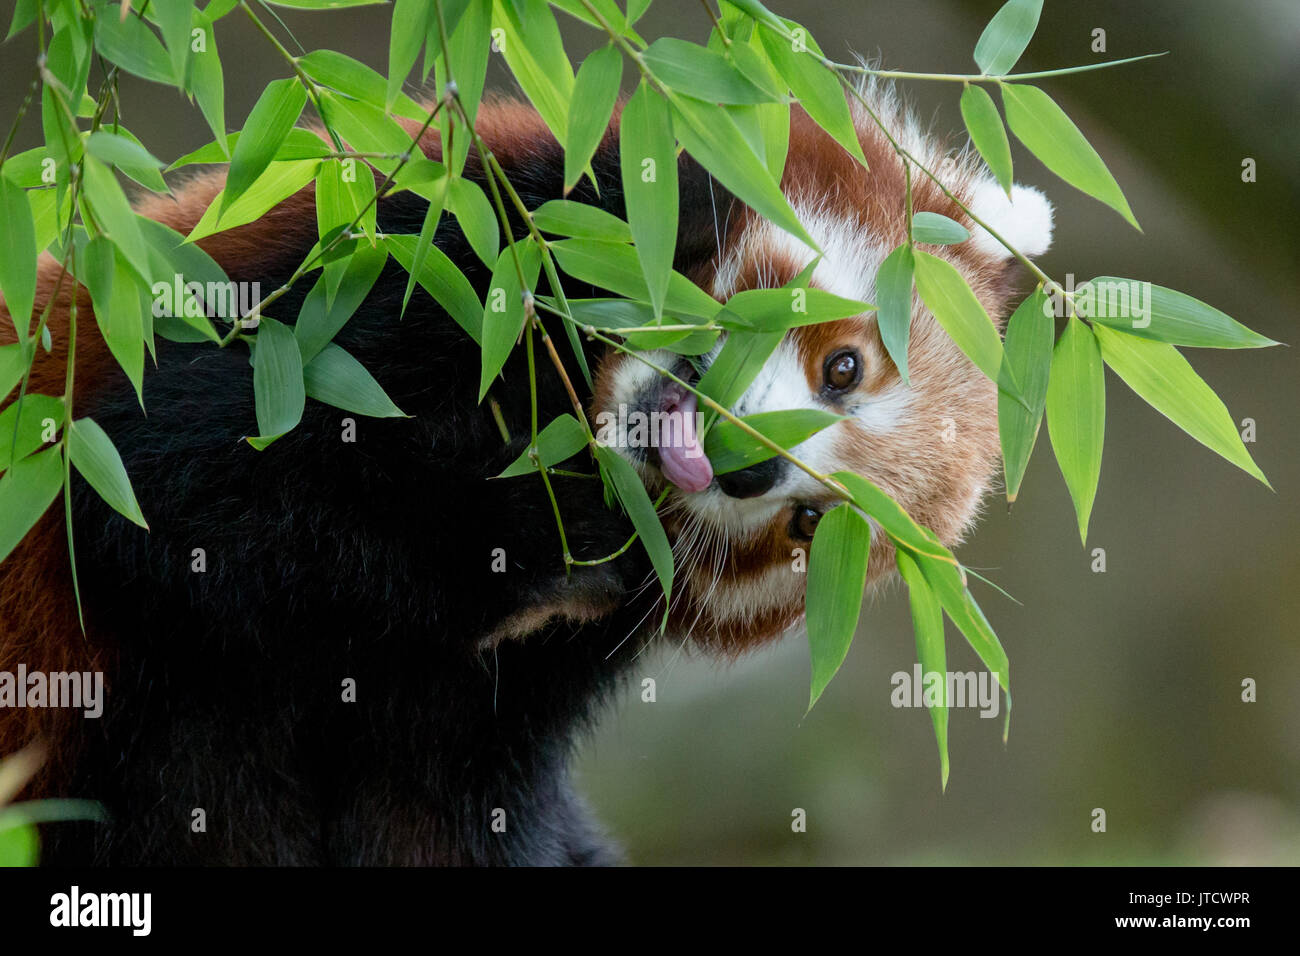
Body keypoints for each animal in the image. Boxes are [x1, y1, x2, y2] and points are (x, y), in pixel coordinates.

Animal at [0, 80, 1052, 865]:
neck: (577, 411)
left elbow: (438, 812)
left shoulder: (508, 686)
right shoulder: (433, 255)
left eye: (807, 528)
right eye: (845, 368)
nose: (751, 471)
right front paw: (537, 531)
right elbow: (176, 495)